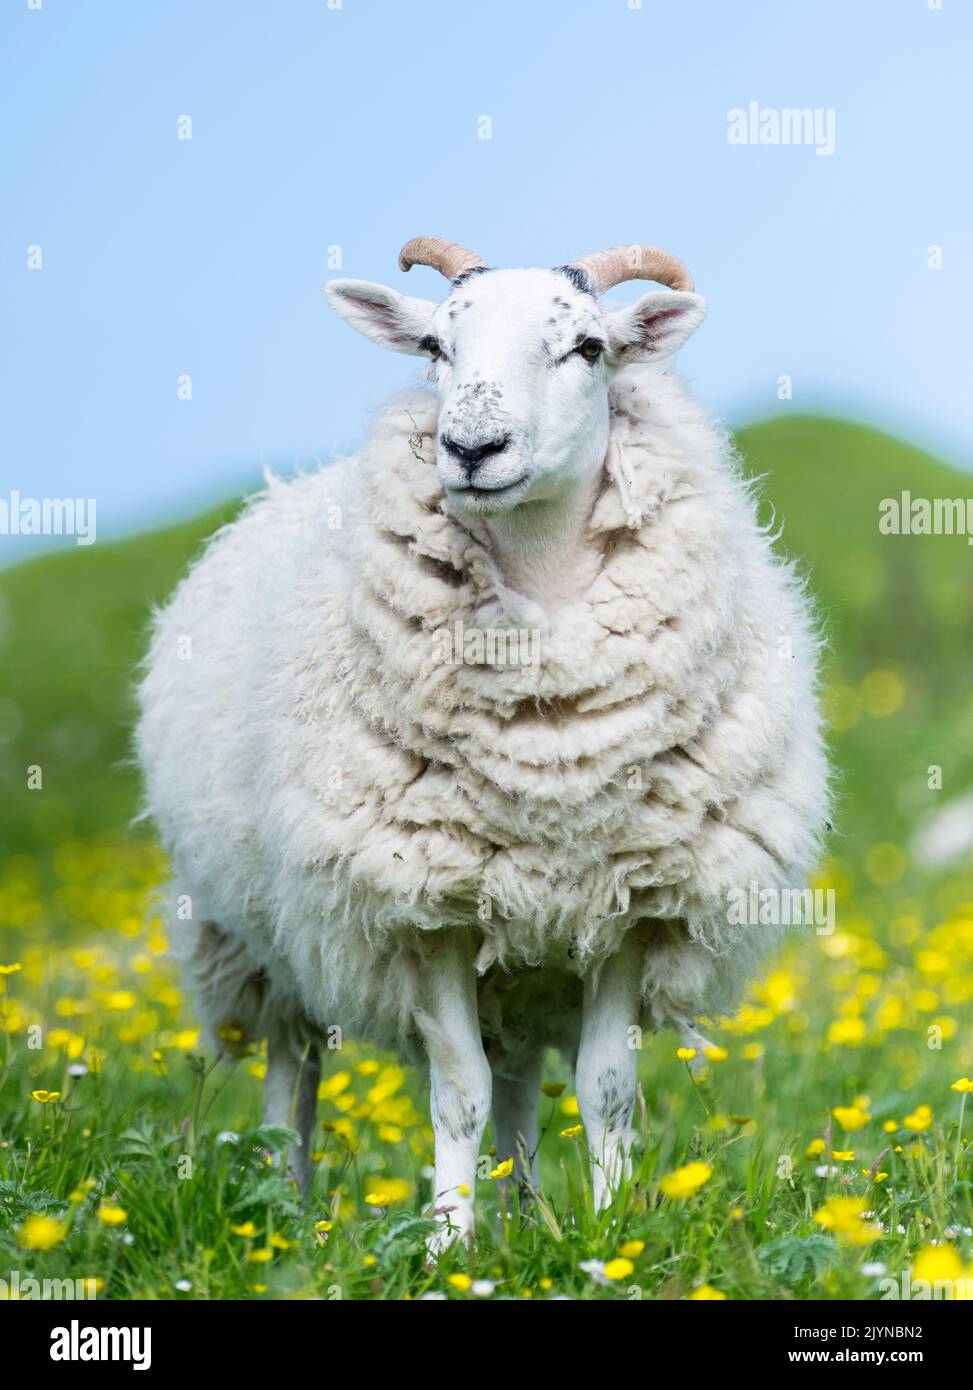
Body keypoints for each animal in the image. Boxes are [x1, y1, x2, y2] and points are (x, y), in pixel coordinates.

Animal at [136, 236, 829, 1246]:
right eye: (434, 347)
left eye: (587, 346)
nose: (468, 448)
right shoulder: (424, 908)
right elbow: (455, 1091)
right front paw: (445, 1242)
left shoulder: (629, 908)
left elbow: (603, 1087)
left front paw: (607, 1234)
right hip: (263, 933)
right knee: (296, 1069)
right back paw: (289, 1210)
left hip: (528, 958)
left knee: (518, 1081)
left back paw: (526, 1216)